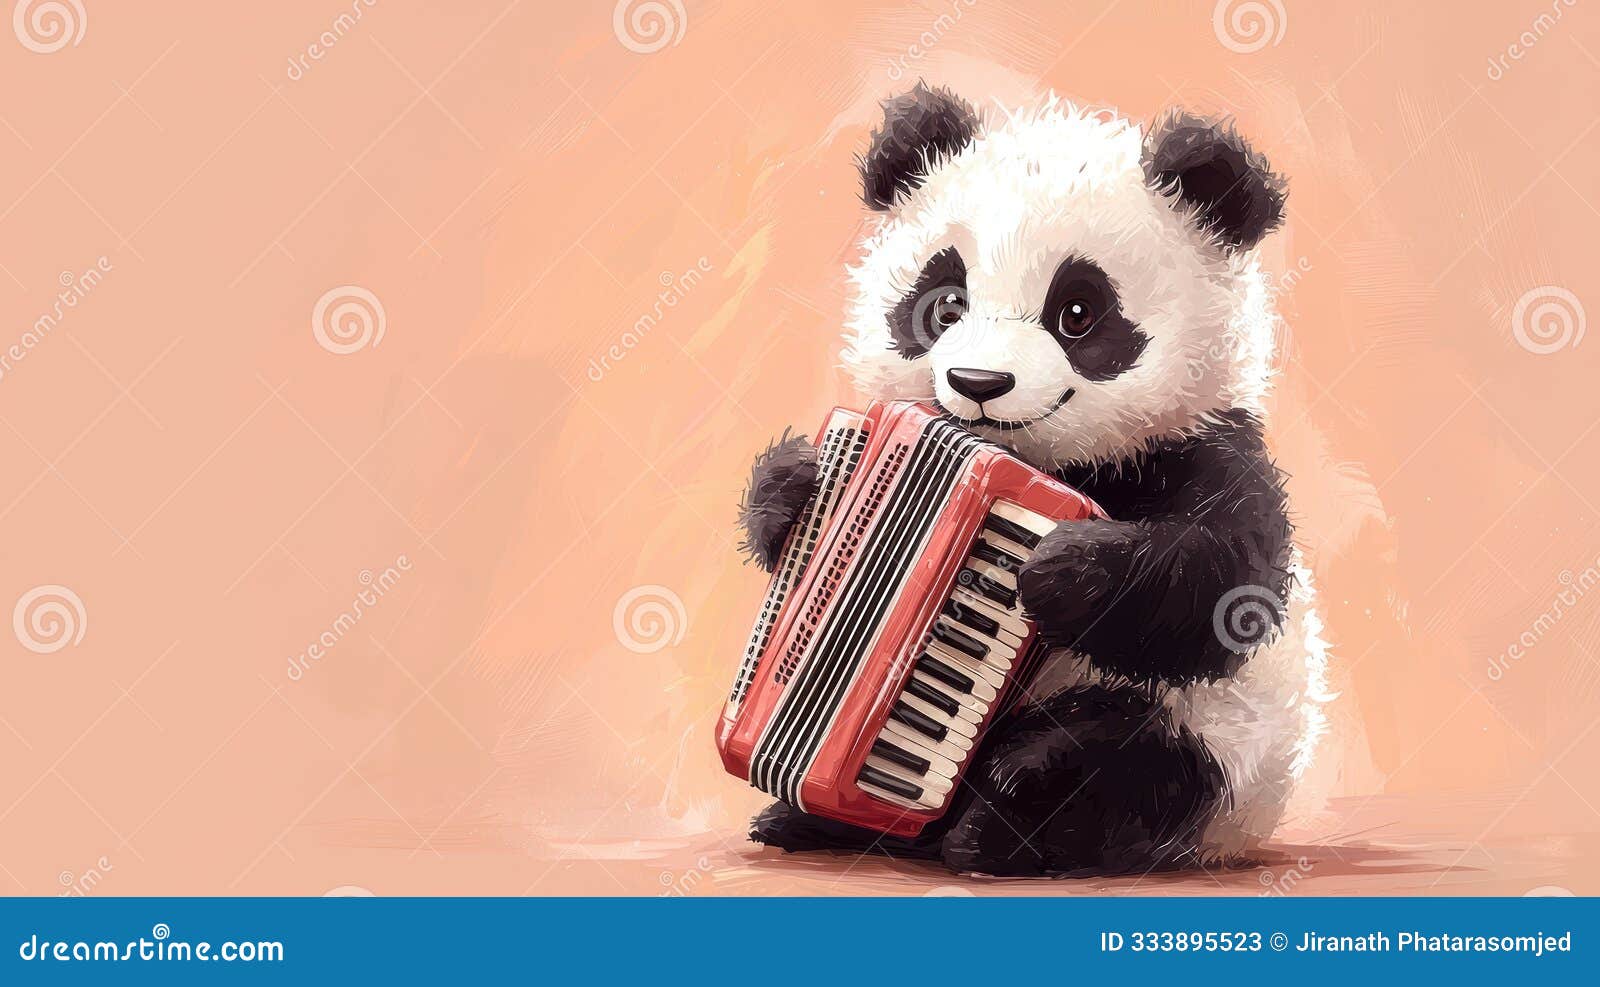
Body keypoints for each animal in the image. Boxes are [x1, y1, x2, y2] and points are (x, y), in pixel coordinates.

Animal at [737, 83, 1330, 877]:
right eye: (944, 304)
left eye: (1078, 313)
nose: (977, 383)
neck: (1038, 462)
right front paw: (798, 487)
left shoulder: (1212, 451)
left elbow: (1223, 593)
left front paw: (1055, 571)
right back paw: (811, 821)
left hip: (1224, 747)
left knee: (1124, 764)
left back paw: (1002, 816)